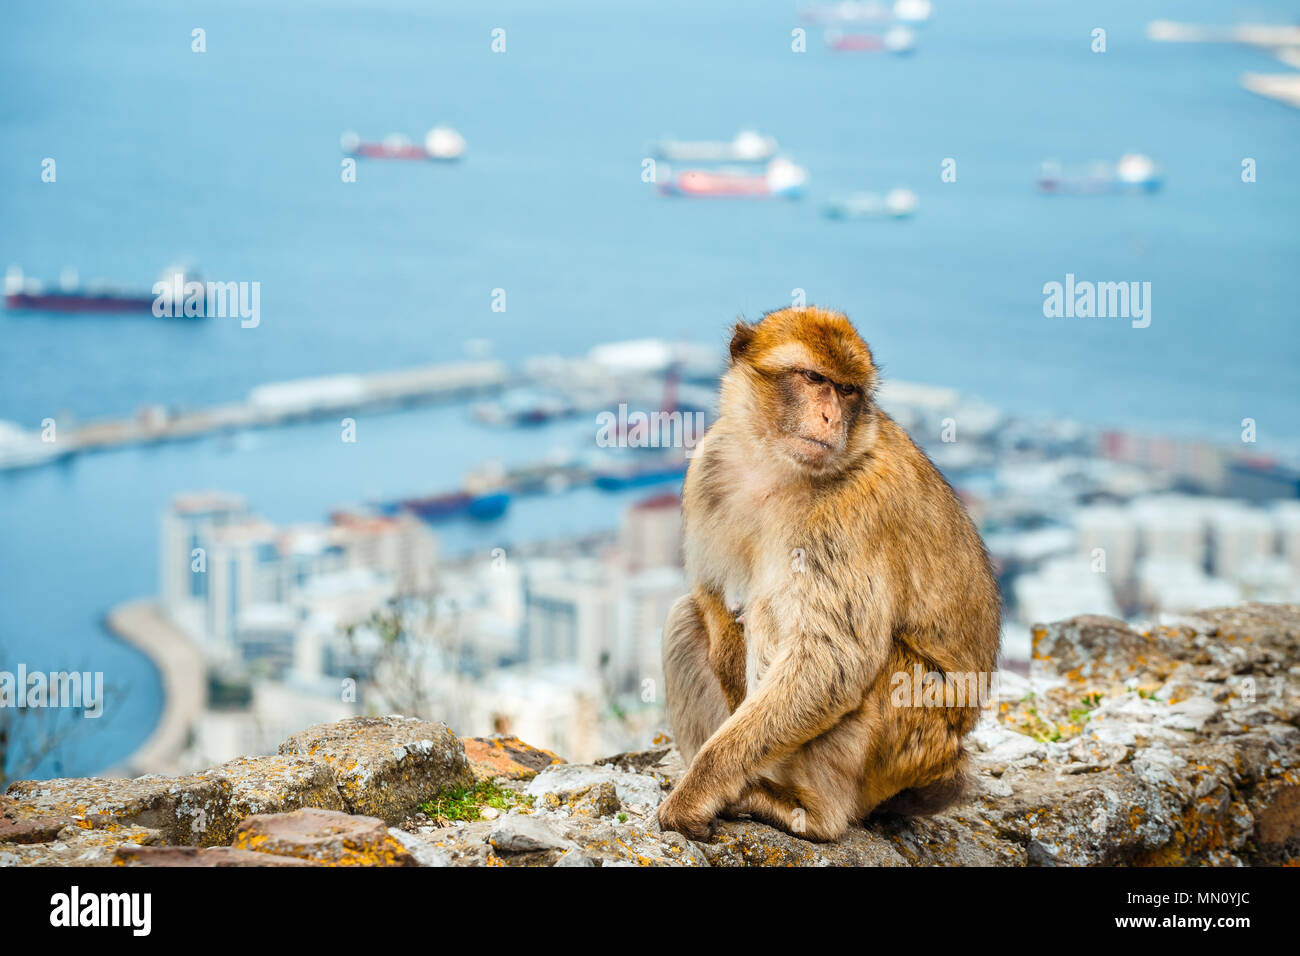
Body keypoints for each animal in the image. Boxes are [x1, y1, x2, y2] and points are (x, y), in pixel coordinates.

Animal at [657, 306, 1000, 842]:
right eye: (815, 379)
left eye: (848, 391)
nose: (831, 418)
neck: (776, 466)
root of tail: (946, 760)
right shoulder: (709, 467)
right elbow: (709, 589)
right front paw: (730, 665)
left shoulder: (850, 511)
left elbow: (832, 663)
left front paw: (697, 790)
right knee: (687, 618)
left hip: (909, 740)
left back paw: (811, 813)